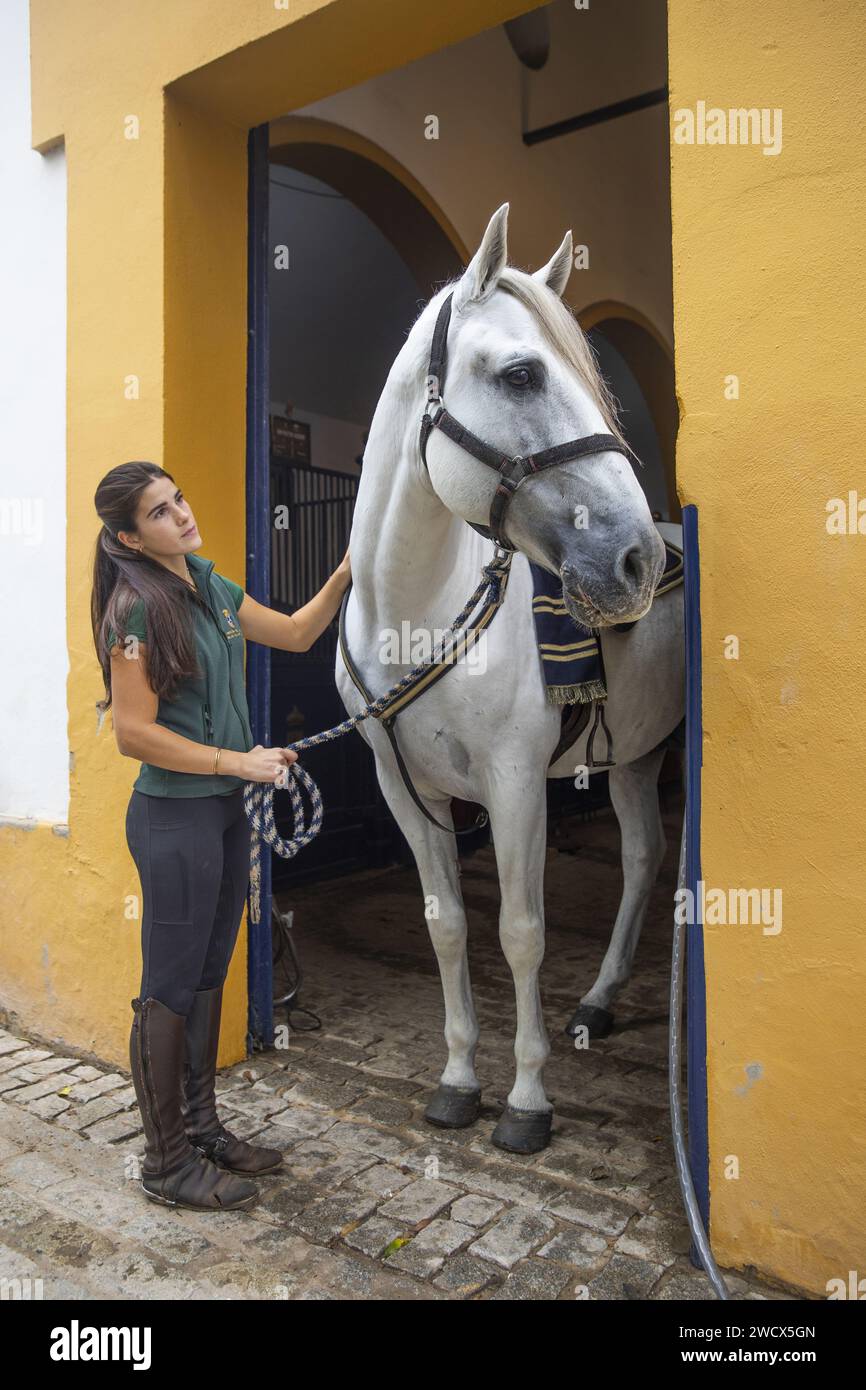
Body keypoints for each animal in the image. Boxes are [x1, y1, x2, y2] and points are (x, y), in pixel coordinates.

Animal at [335, 203, 684, 1153]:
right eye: (522, 374)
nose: (635, 561)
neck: (414, 610)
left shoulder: (517, 782)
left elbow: (520, 932)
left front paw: (528, 1099)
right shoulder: (404, 789)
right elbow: (448, 926)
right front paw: (458, 1079)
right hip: (634, 756)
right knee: (642, 856)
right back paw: (599, 1001)